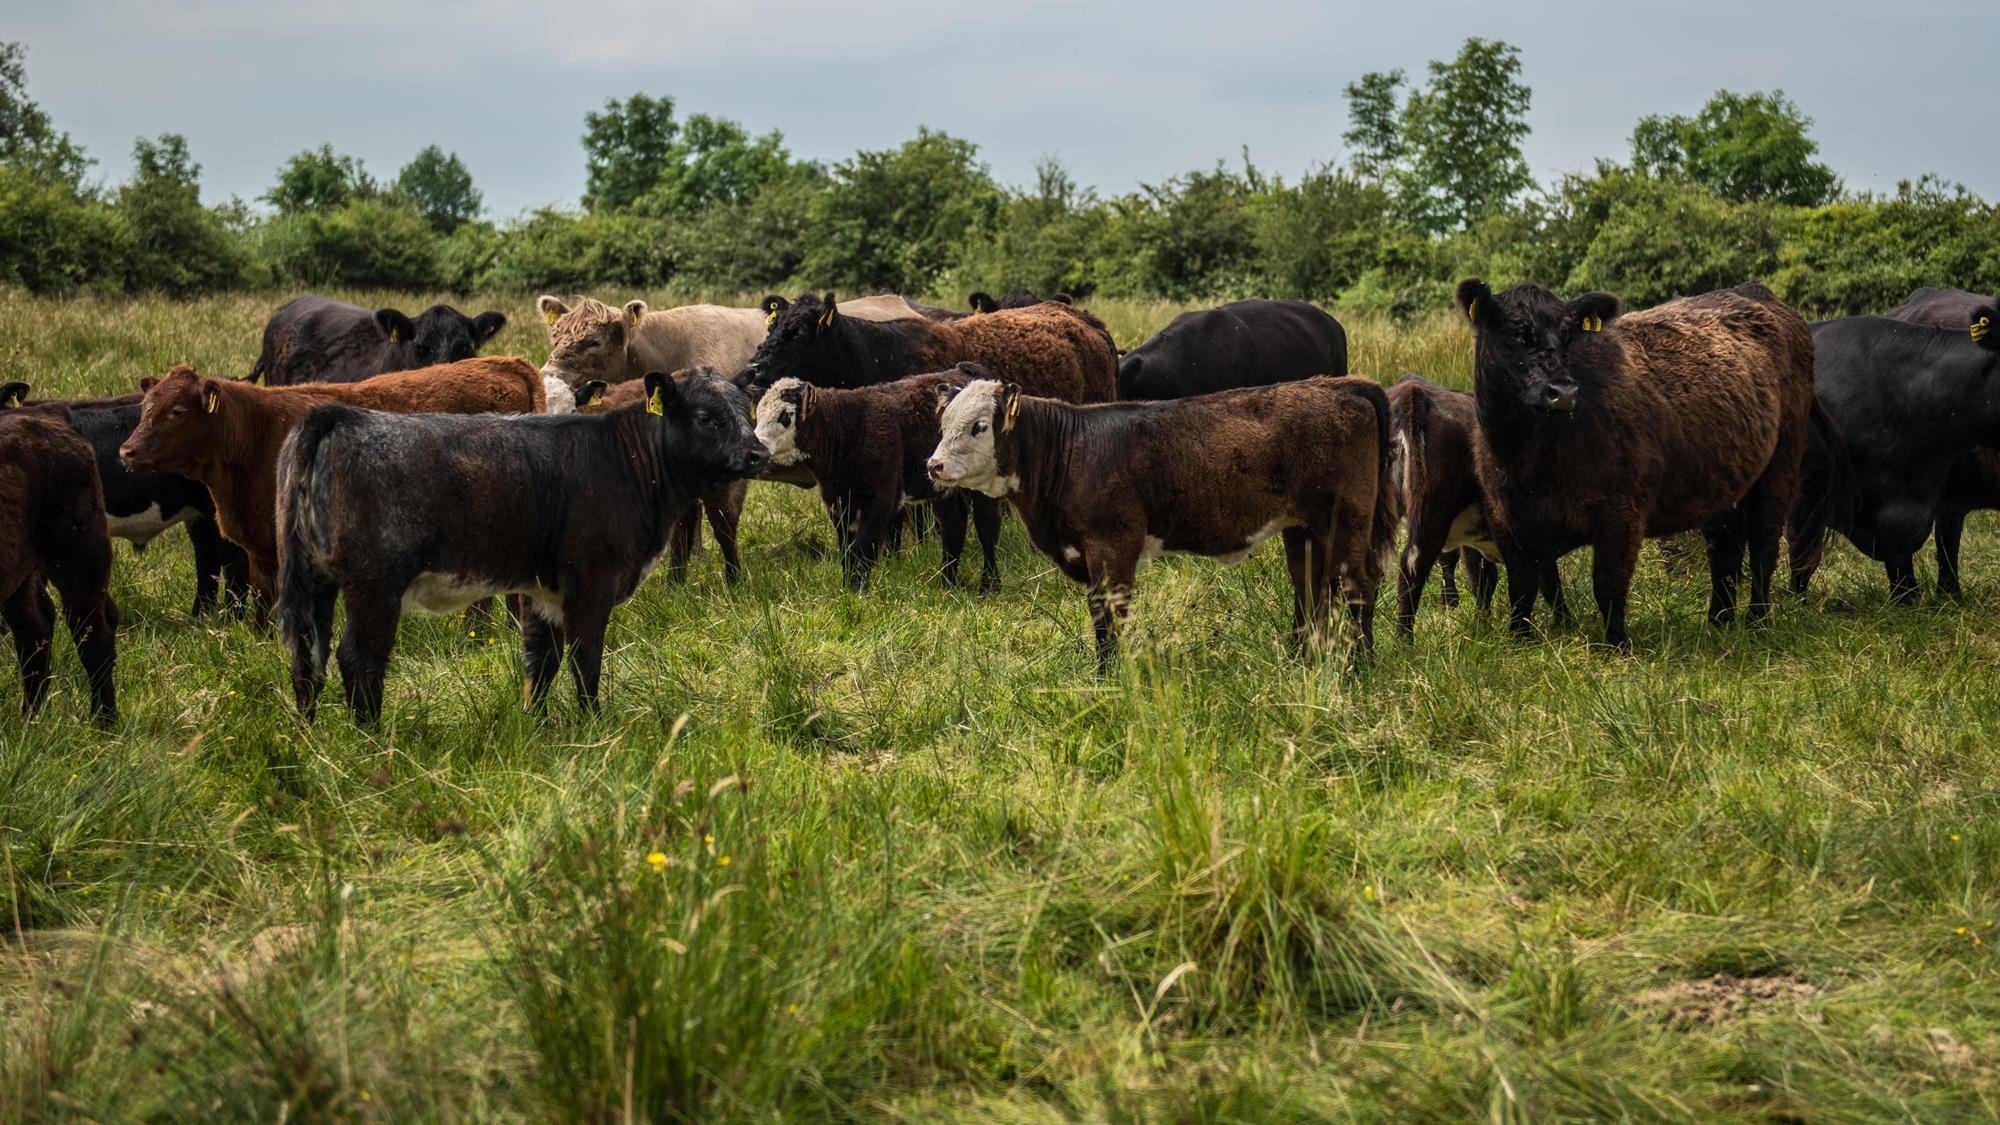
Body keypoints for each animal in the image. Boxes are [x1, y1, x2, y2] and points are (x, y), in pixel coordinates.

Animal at [0, 411, 117, 720]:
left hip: (80, 560)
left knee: (93, 636)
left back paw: (104, 721)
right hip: (22, 575)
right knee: (34, 631)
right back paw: (30, 718)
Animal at [753, 364, 1006, 592]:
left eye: (785, 415)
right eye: (758, 414)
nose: (758, 448)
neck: (850, 429)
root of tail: (967, 371)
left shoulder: (882, 499)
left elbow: (864, 547)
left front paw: (858, 592)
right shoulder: (839, 503)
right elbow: (847, 551)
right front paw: (848, 588)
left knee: (988, 528)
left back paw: (989, 585)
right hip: (944, 488)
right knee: (953, 527)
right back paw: (947, 583)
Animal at [927, 376, 1394, 667]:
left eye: (979, 426)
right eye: (944, 424)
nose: (933, 465)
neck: (1072, 451)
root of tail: (1341, 385)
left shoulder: (1112, 546)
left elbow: (1108, 616)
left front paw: (1108, 680)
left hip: (1345, 520)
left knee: (1357, 587)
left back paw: (1362, 667)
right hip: (1303, 529)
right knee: (1311, 590)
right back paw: (1302, 660)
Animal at [1387, 374, 1567, 635]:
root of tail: (1413, 393)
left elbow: (1484, 581)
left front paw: (1482, 625)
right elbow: (1544, 584)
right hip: (1432, 513)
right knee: (1413, 571)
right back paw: (1404, 638)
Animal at [1454, 279, 1816, 649]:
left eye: (1569, 335)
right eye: (1516, 332)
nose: (1563, 391)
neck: (1527, 459)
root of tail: (1752, 289)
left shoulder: (1621, 511)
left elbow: (1608, 583)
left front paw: (1616, 645)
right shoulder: (1507, 520)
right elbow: (1522, 588)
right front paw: (1519, 639)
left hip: (1780, 467)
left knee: (1763, 547)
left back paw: (1758, 622)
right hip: (1724, 478)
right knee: (1725, 550)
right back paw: (1720, 621)